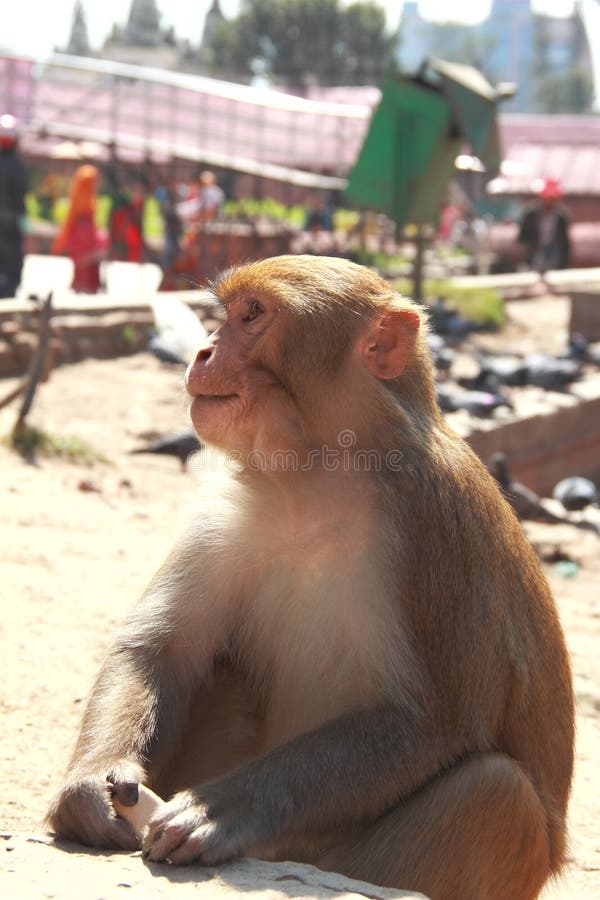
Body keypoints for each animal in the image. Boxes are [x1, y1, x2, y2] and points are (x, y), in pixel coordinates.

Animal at [47, 256, 574, 900]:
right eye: (229, 313)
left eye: (252, 315)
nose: (201, 351)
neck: (319, 473)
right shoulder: (230, 506)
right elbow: (162, 651)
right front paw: (93, 783)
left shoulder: (435, 517)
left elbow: (433, 723)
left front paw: (222, 809)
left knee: (496, 793)